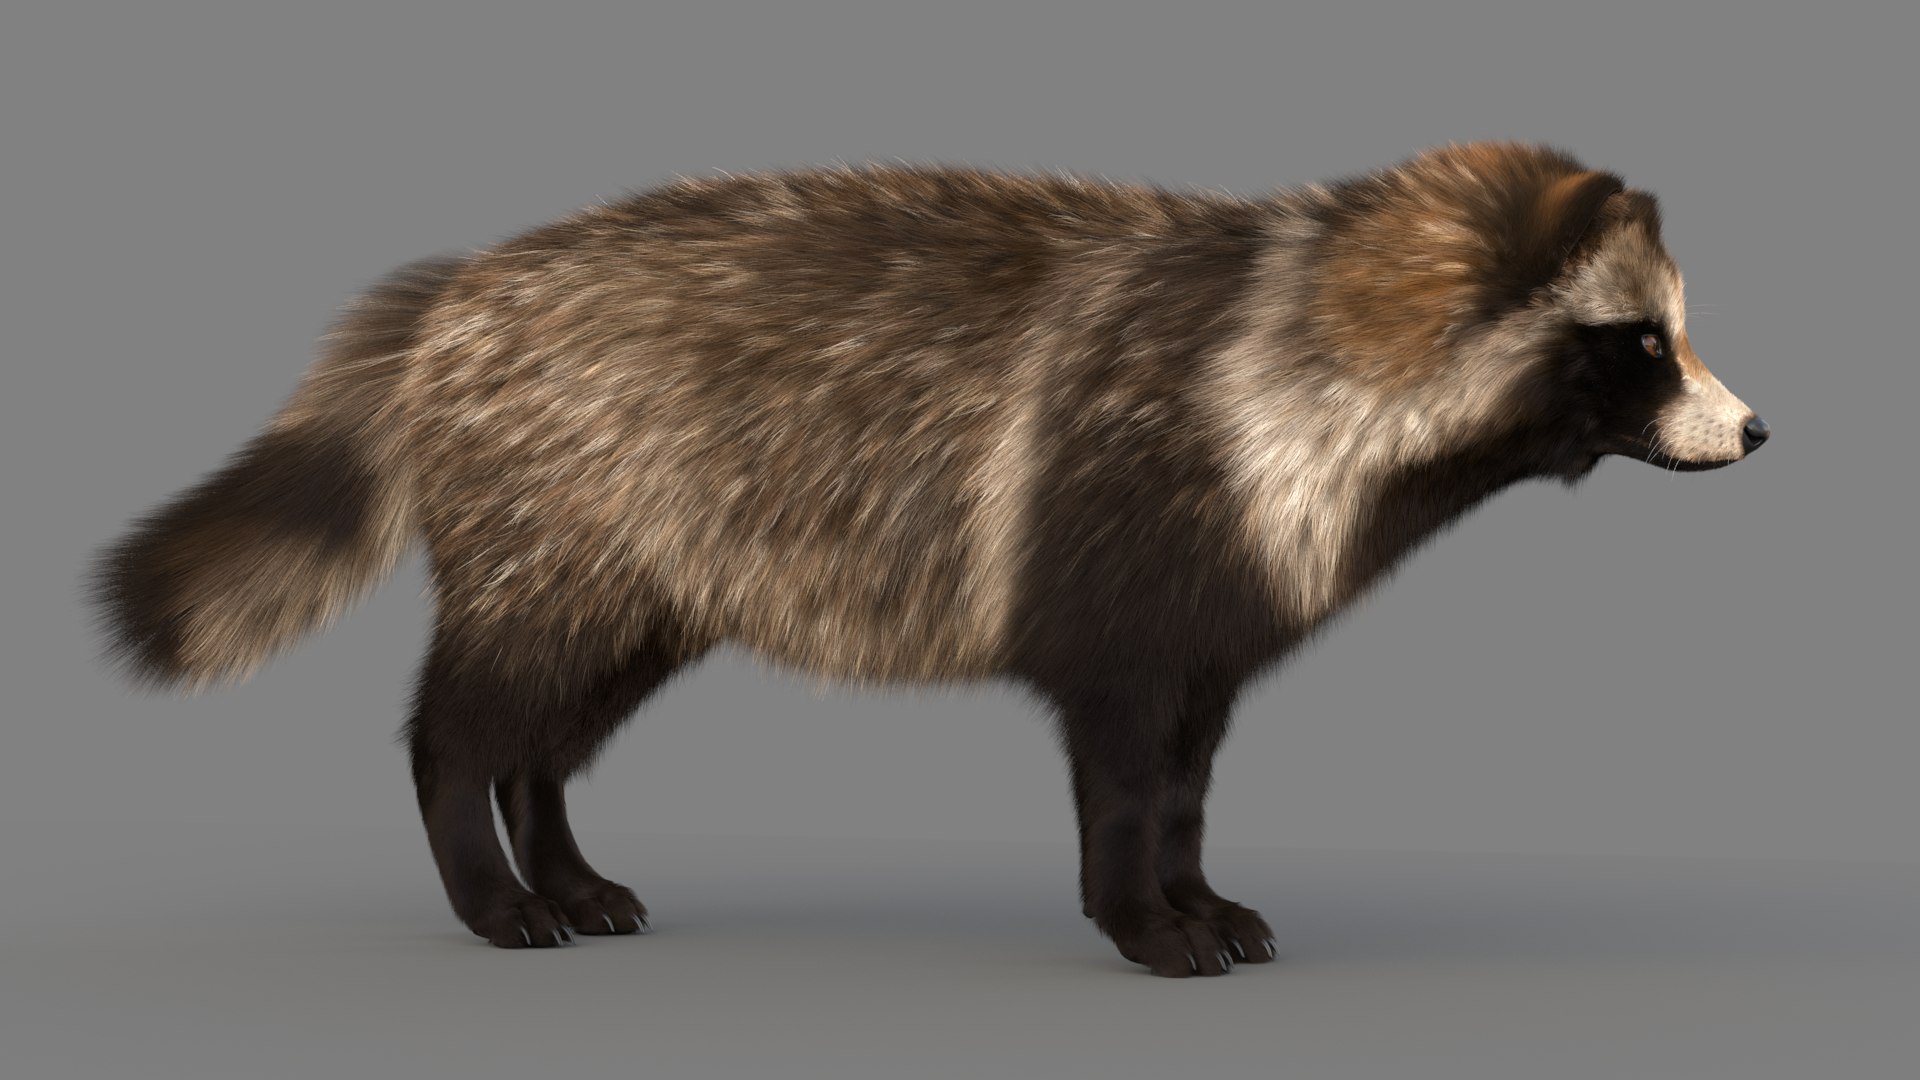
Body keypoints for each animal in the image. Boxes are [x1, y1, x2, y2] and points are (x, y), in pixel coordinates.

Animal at [91, 142, 1767, 976]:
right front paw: (1143, 922)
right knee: (470, 720)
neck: (1315, 347)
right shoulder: (1124, 541)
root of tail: (456, 299)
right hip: (558, 514)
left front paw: (1197, 892)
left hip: (647, 566)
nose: (1757, 431)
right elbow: (1122, 772)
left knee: (551, 733)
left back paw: (559, 860)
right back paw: (491, 887)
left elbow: (1186, 776)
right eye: (1638, 341)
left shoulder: (1214, 613)